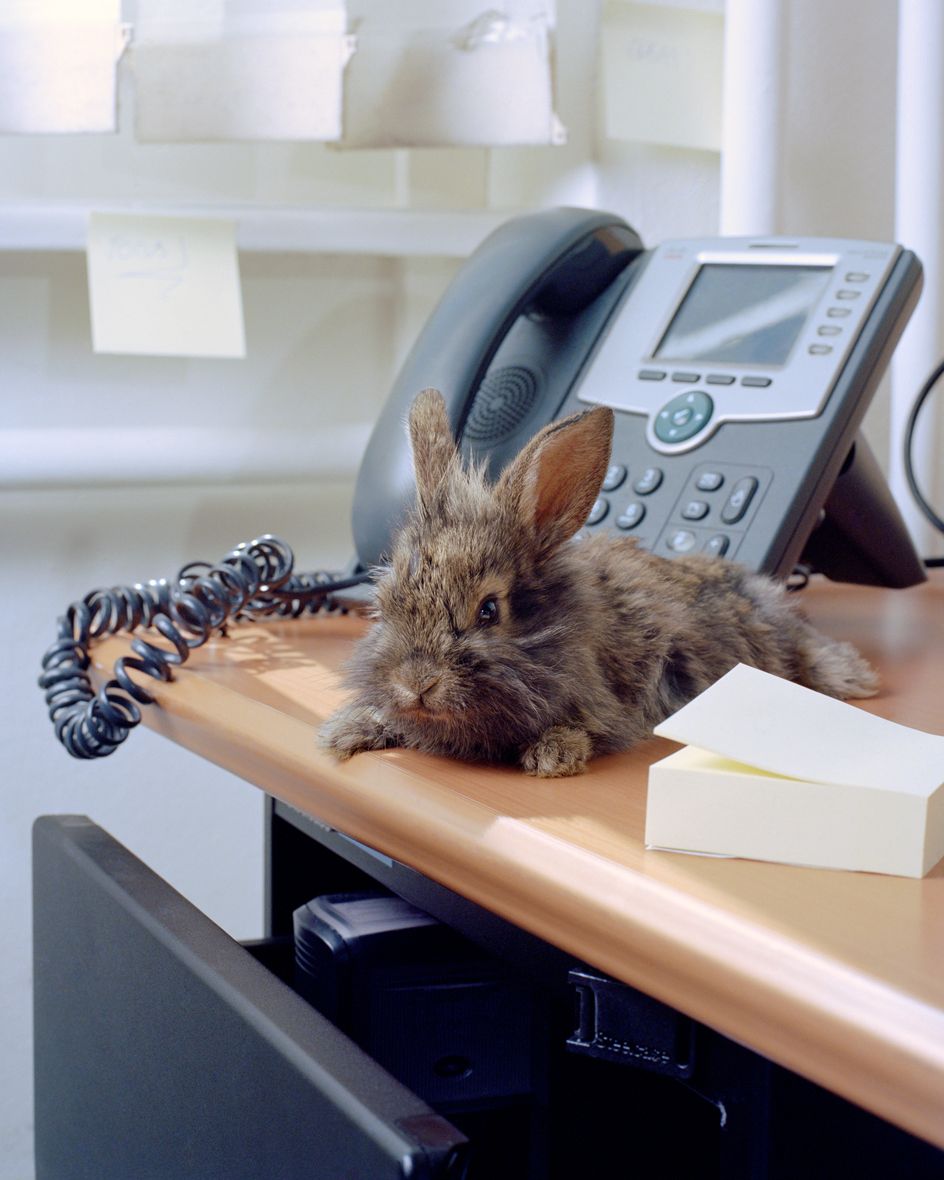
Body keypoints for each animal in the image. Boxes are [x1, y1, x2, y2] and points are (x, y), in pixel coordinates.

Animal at [319, 387, 878, 777]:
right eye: (386, 601)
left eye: (489, 610)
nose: (416, 683)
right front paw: (344, 731)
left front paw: (553, 755)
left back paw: (855, 678)